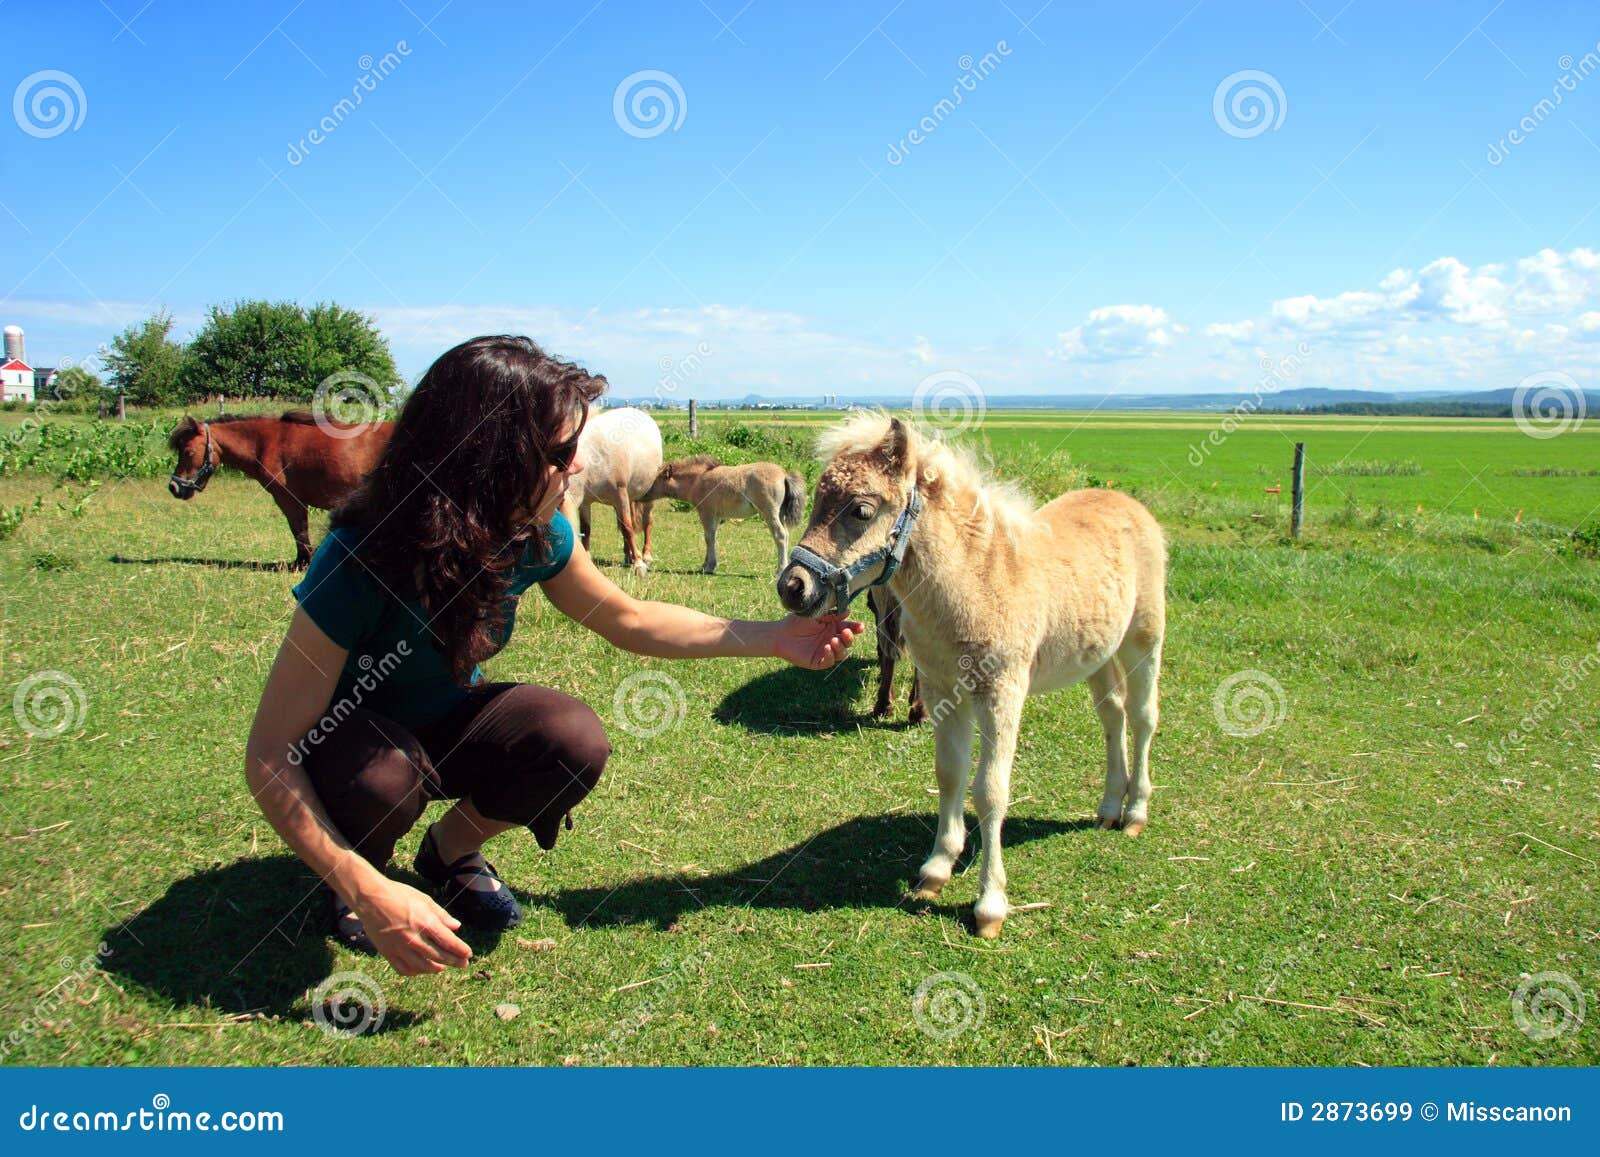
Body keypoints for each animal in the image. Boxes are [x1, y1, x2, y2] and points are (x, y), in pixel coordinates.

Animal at [167, 411, 392, 569]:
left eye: (188, 451)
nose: (174, 487)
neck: (266, 442)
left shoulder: (287, 498)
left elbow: (299, 530)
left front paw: (303, 562)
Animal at [563, 406, 662, 577]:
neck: (592, 458)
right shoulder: (585, 502)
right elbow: (587, 529)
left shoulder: (620, 493)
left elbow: (628, 528)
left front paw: (639, 564)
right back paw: (628, 555)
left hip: (644, 495)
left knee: (647, 522)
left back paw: (646, 556)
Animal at [640, 456, 806, 576]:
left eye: (655, 480)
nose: (642, 495)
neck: (697, 481)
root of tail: (784, 475)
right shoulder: (716, 516)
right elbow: (713, 537)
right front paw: (705, 565)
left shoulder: (706, 513)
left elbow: (708, 538)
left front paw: (709, 567)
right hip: (780, 513)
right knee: (786, 535)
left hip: (769, 512)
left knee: (780, 535)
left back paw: (780, 570)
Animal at [777, 413, 1166, 939]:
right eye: (816, 500)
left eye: (861, 509)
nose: (793, 587)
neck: (976, 581)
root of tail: (1129, 503)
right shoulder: (943, 690)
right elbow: (950, 773)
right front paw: (936, 869)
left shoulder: (1002, 693)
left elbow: (990, 791)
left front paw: (990, 905)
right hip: (1098, 656)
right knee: (1113, 718)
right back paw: (1108, 808)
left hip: (1144, 641)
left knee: (1143, 718)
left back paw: (1136, 812)